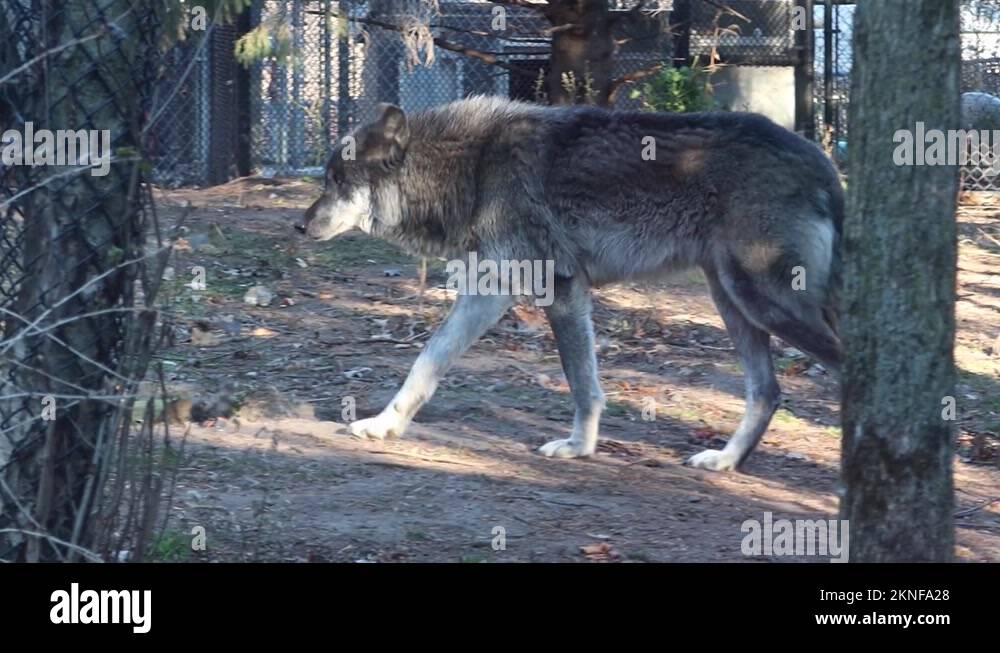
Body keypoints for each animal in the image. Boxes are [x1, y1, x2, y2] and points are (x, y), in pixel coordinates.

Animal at [298, 96, 842, 471]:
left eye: (335, 182)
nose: (300, 226)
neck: (472, 169)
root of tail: (823, 162)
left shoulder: (554, 286)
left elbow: (580, 382)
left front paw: (578, 448)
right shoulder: (496, 293)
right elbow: (427, 361)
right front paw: (385, 425)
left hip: (762, 302)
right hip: (732, 302)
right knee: (767, 391)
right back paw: (724, 461)